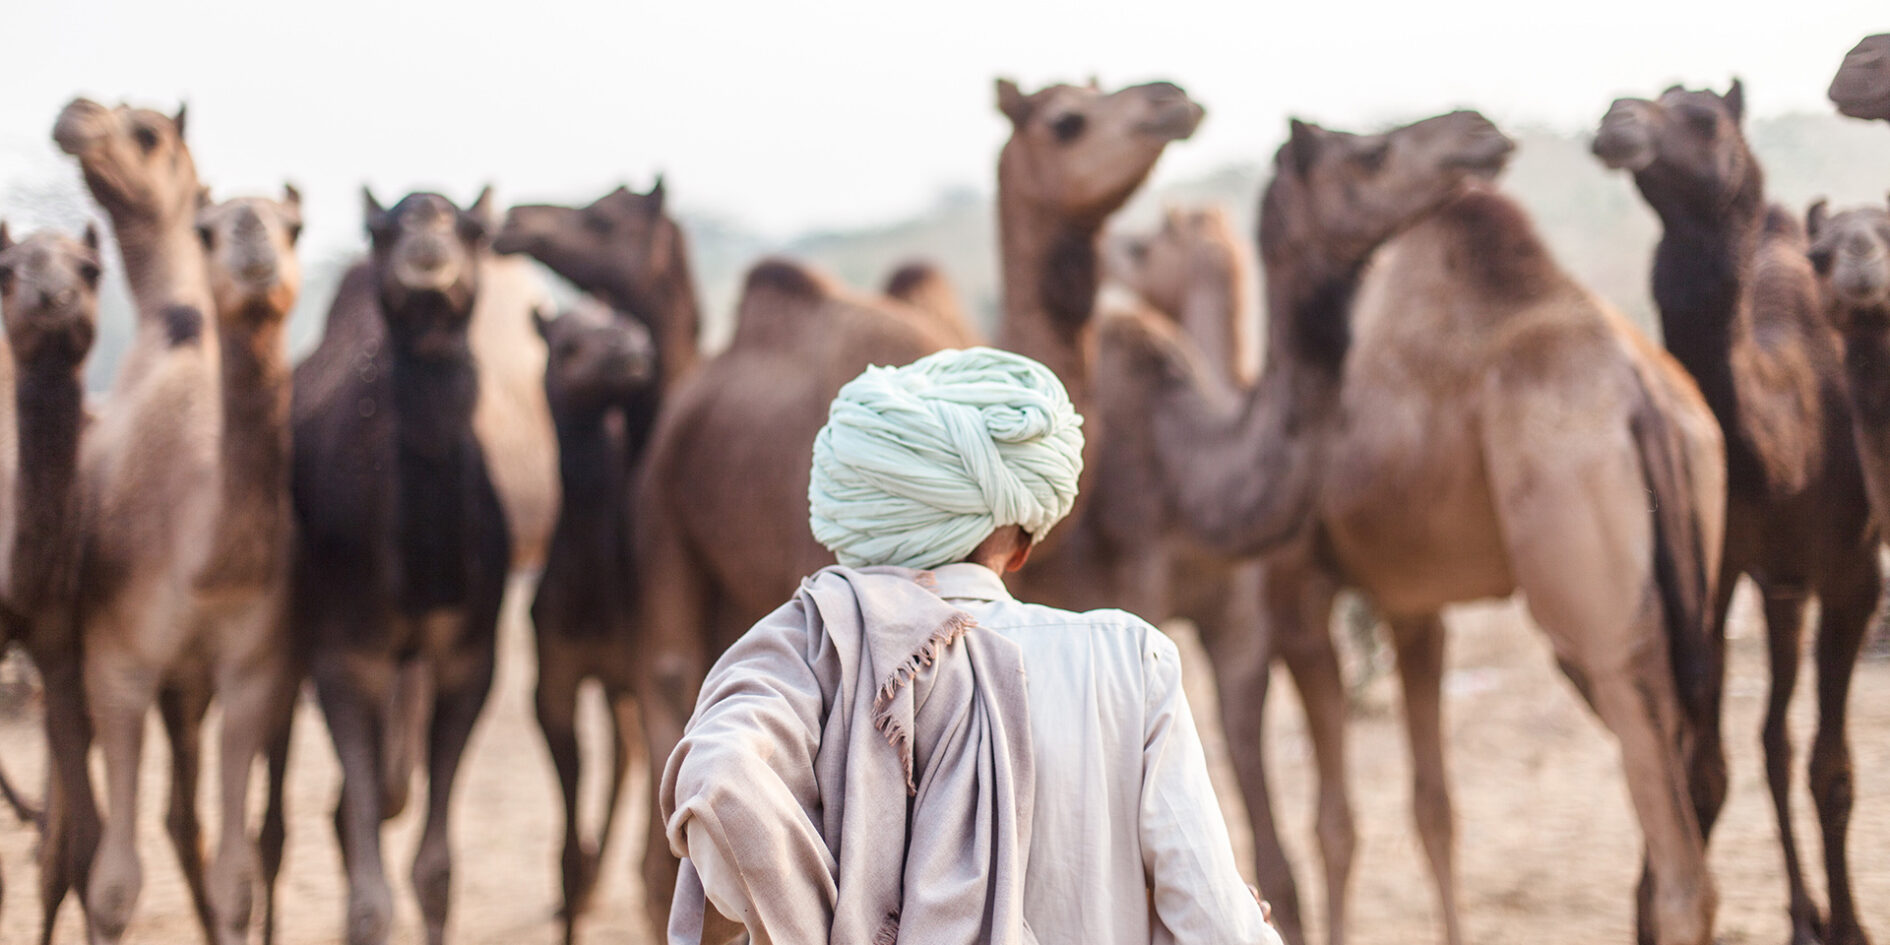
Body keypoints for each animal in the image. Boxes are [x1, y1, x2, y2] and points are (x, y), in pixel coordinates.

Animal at [54, 99, 303, 945]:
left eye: (296, 225)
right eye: (207, 228)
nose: (76, 115)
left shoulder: (253, 667)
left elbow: (236, 879)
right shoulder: (117, 664)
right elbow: (113, 885)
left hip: (190, 690)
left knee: (185, 820)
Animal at [290, 189, 511, 945]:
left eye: (474, 230)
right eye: (383, 229)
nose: (427, 244)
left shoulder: (469, 657)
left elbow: (435, 872)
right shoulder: (342, 654)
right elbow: (371, 898)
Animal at [1595, 81, 1879, 945]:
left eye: (1704, 118)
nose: (1617, 117)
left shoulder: (1856, 574)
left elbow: (1835, 769)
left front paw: (1852, 924)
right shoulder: (1715, 571)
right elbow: (1704, 771)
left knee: (1789, 742)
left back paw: (1818, 914)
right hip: (1776, 586)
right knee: (1770, 738)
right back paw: (1800, 913)